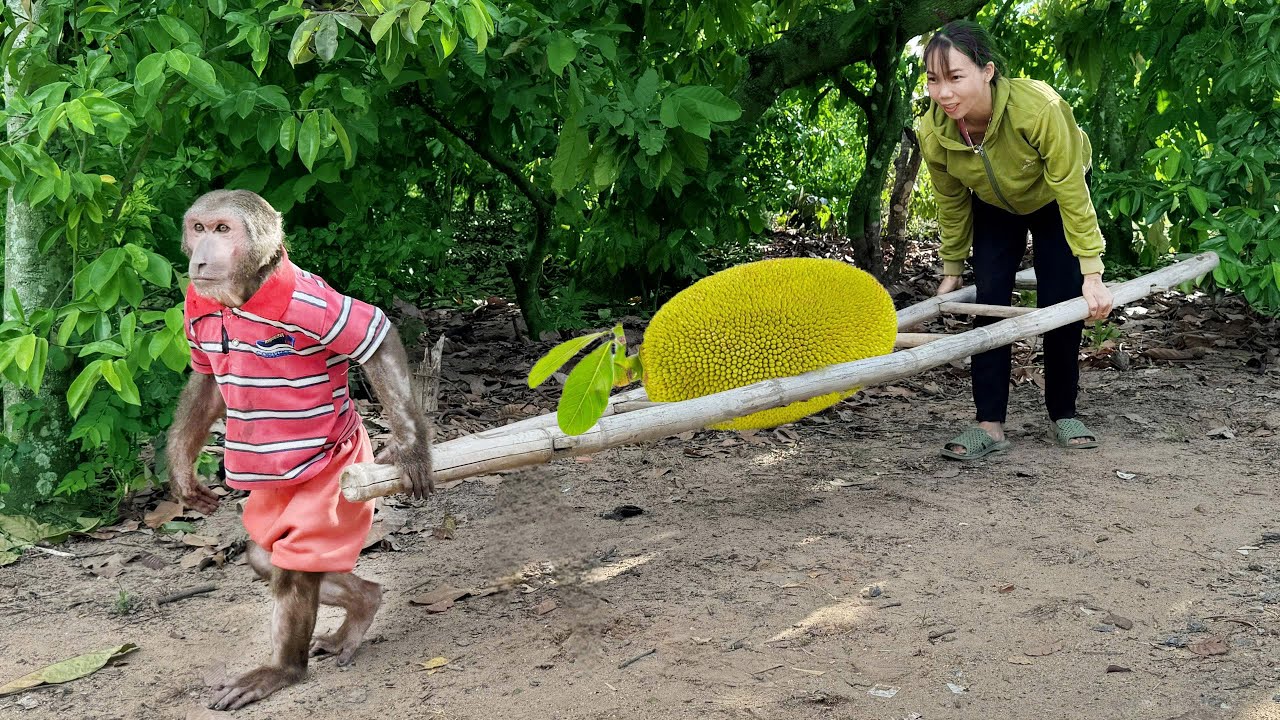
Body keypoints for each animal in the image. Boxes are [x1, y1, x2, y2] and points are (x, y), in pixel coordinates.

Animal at [165, 189, 433, 711]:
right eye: (199, 228)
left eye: (223, 230)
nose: (202, 256)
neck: (243, 300)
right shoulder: (196, 303)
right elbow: (207, 379)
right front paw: (182, 471)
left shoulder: (312, 302)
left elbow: (376, 339)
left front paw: (411, 447)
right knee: (263, 556)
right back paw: (365, 600)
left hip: (341, 475)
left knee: (294, 563)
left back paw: (285, 670)